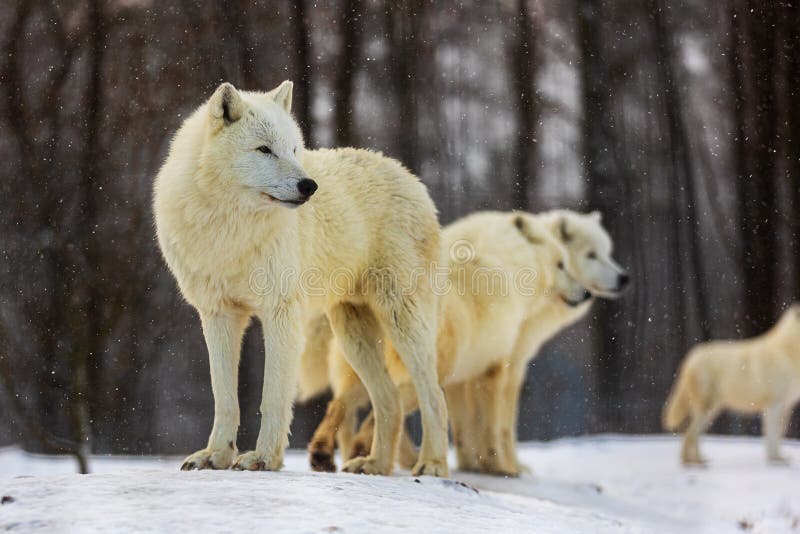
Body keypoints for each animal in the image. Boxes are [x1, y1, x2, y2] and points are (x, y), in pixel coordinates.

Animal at [153, 81, 448, 476]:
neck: (231, 229)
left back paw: (432, 465)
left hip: (402, 323)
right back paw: (374, 465)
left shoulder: (281, 314)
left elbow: (273, 396)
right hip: (353, 335)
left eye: (294, 149)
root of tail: (410, 176)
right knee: (391, 400)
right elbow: (225, 398)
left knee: (435, 398)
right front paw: (215, 456)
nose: (309, 186)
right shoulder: (218, 315)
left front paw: (263, 458)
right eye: (264, 149)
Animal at [305, 210, 594, 472]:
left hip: (365, 361)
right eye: (561, 264)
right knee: (388, 405)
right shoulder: (493, 366)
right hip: (430, 366)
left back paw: (327, 454)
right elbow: (489, 424)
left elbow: (464, 426)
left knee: (344, 404)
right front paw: (499, 467)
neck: (510, 265)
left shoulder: (460, 379)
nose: (586, 293)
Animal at [663, 304, 800, 466]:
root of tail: (691, 358)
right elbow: (772, 436)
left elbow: (779, 435)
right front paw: (775, 461)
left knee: (691, 435)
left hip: (711, 412)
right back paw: (694, 464)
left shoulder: (786, 407)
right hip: (707, 409)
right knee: (690, 435)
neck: (788, 352)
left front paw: (780, 458)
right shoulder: (774, 405)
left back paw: (697, 460)